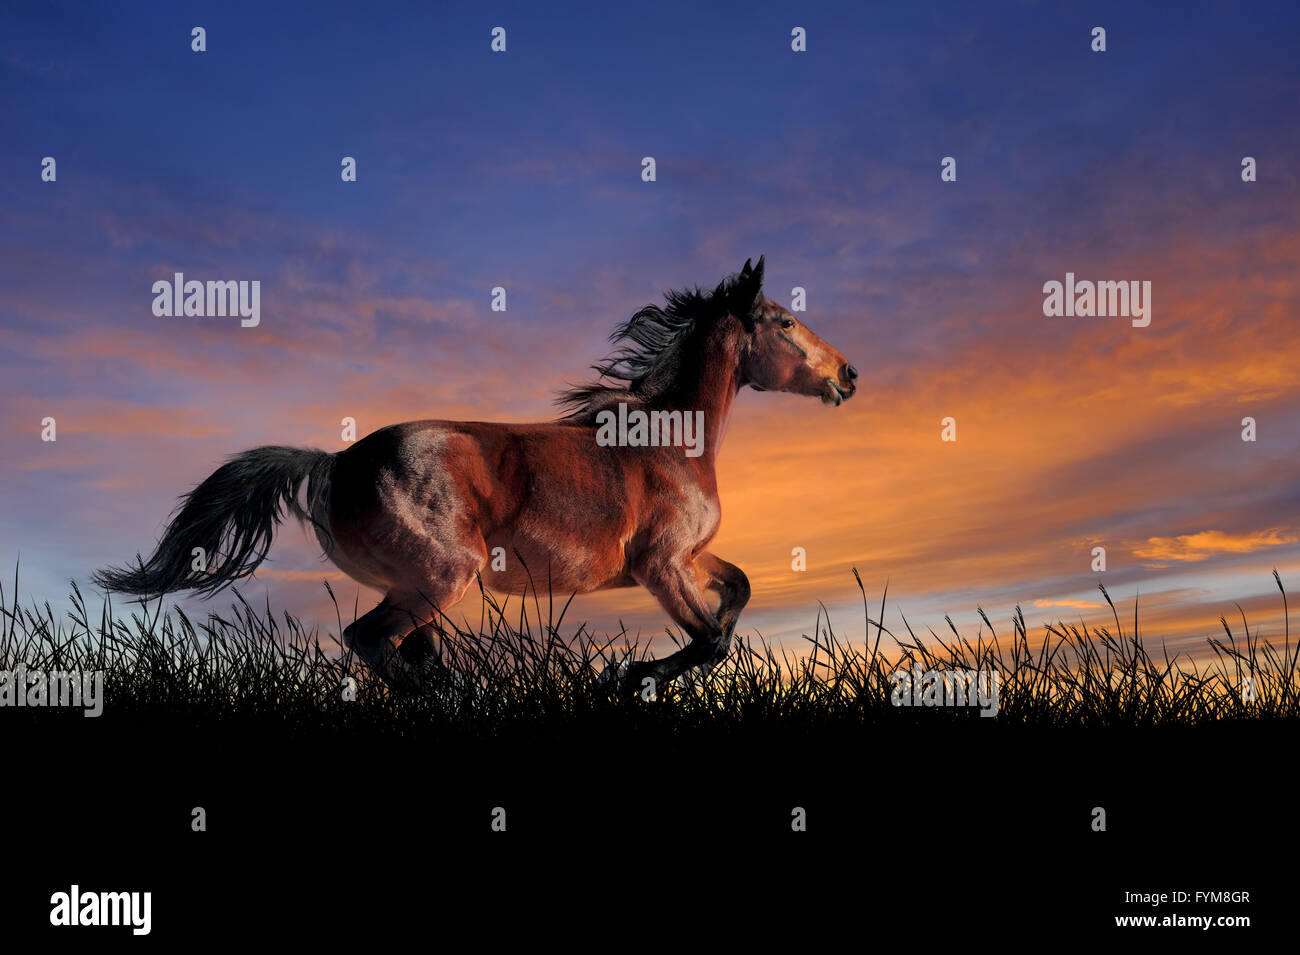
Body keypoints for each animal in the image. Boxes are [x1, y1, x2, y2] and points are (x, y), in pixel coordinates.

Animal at [93, 256, 858, 694]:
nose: (848, 374)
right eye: (783, 322)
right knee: (374, 645)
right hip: (441, 576)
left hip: (414, 585)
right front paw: (624, 679)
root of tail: (334, 462)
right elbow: (712, 640)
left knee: (402, 655)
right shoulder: (660, 564)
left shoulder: (691, 559)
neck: (667, 437)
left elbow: (738, 595)